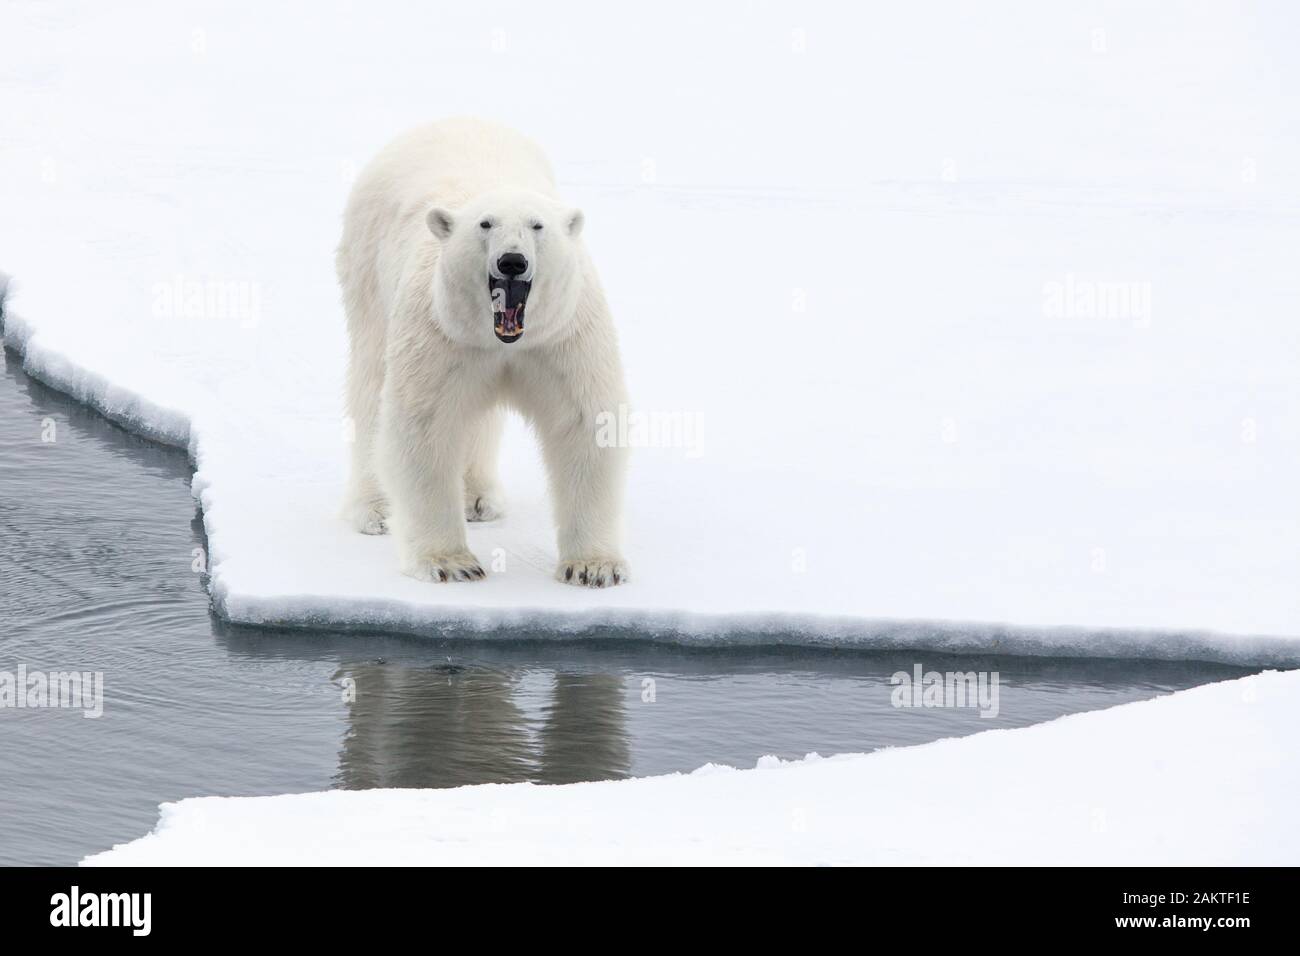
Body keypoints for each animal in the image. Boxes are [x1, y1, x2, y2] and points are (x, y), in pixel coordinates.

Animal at [335, 118, 630, 588]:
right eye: (485, 224)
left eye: (537, 225)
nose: (512, 261)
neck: (503, 338)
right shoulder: (441, 333)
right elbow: (424, 426)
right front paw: (450, 562)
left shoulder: (561, 337)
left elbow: (585, 423)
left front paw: (593, 567)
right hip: (367, 269)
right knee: (369, 383)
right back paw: (375, 509)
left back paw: (477, 498)